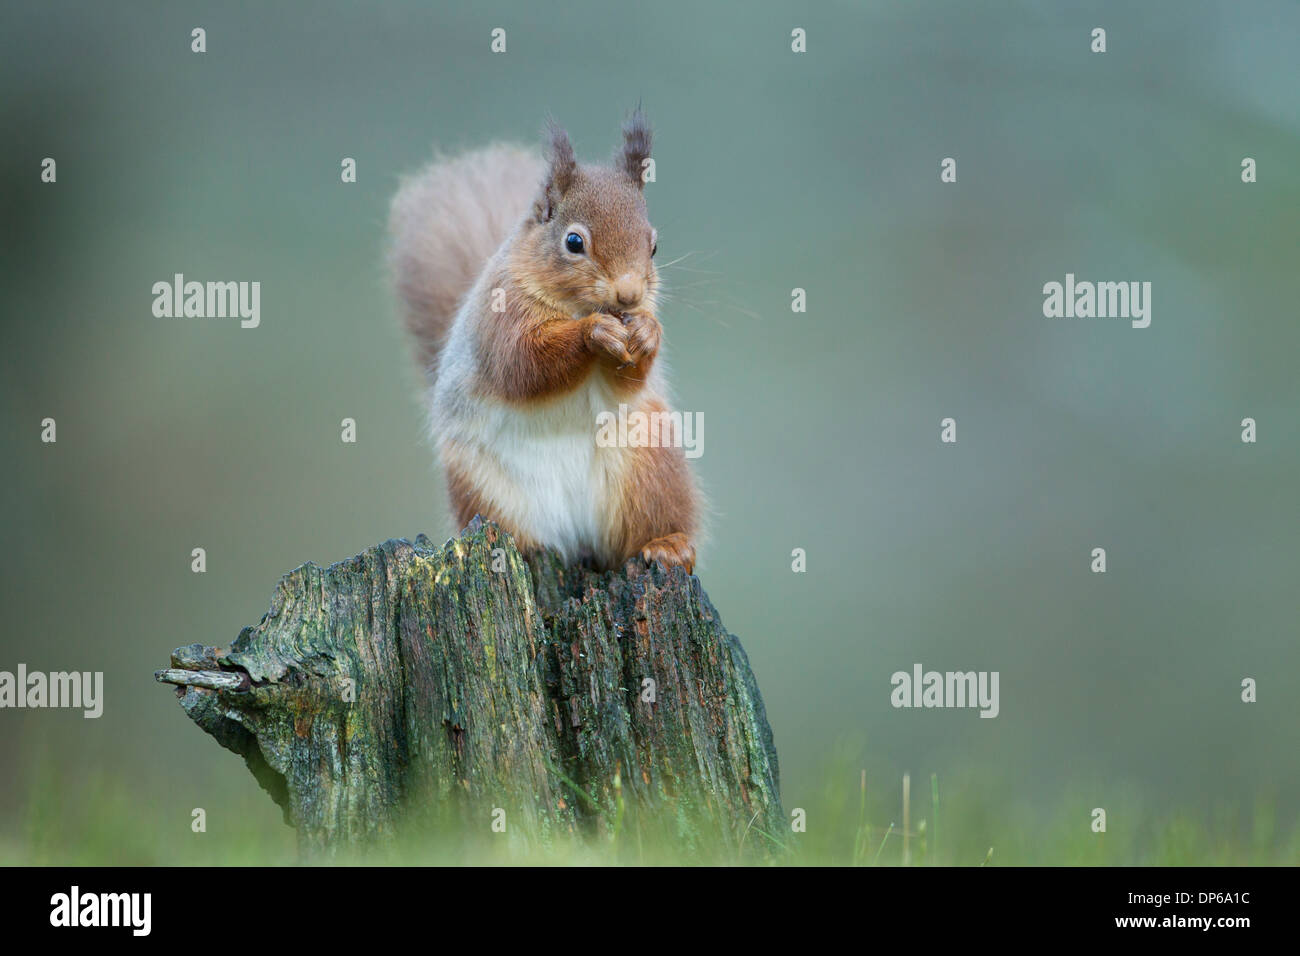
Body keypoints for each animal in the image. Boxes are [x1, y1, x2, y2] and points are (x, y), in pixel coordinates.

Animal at [388, 110, 700, 572]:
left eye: (655, 246)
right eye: (573, 242)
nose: (629, 295)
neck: (576, 307)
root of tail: (575, 537)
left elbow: (627, 382)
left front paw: (646, 332)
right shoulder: (501, 319)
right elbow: (524, 364)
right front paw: (593, 334)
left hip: (649, 467)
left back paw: (668, 543)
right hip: (485, 492)